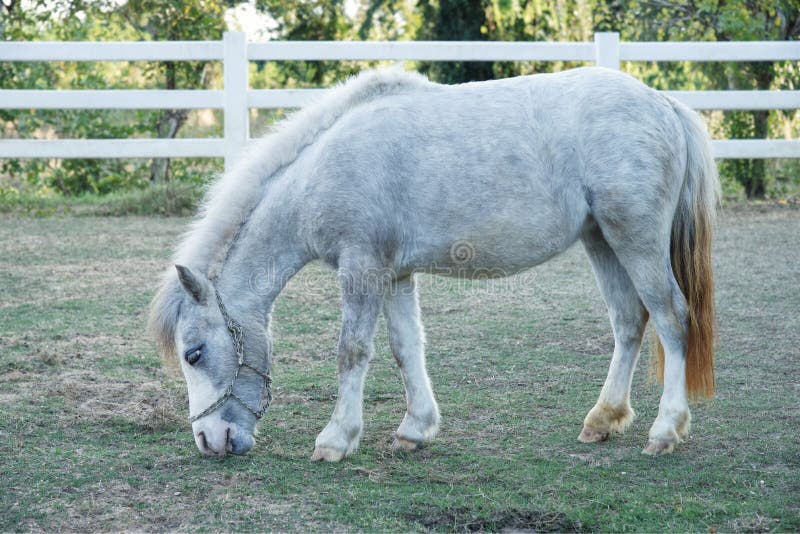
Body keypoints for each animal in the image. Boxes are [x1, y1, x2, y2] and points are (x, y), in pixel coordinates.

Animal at [149, 66, 718, 461]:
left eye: (194, 353)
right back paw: (602, 419)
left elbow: (352, 352)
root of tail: (664, 104)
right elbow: (407, 349)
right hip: (603, 241)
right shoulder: (395, 274)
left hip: (636, 240)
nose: (209, 439)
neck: (321, 172)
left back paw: (665, 430)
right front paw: (415, 429)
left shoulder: (362, 268)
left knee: (670, 318)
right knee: (629, 322)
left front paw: (336, 439)